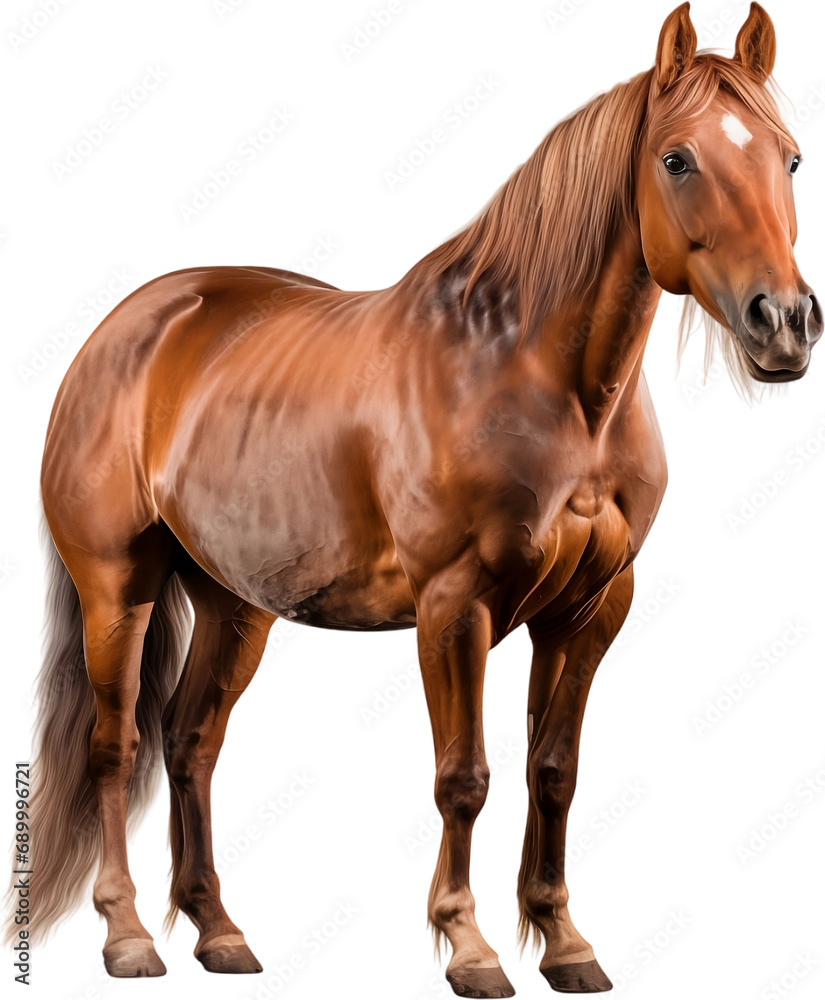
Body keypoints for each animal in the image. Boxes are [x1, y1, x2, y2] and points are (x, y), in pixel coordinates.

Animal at [12, 2, 820, 995]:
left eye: (789, 158)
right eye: (676, 159)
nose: (784, 323)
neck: (540, 380)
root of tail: (126, 327)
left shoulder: (589, 610)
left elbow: (553, 772)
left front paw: (564, 942)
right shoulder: (453, 604)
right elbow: (462, 777)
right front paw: (469, 946)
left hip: (235, 605)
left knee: (191, 742)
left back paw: (219, 933)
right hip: (116, 587)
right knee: (115, 747)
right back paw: (127, 935)